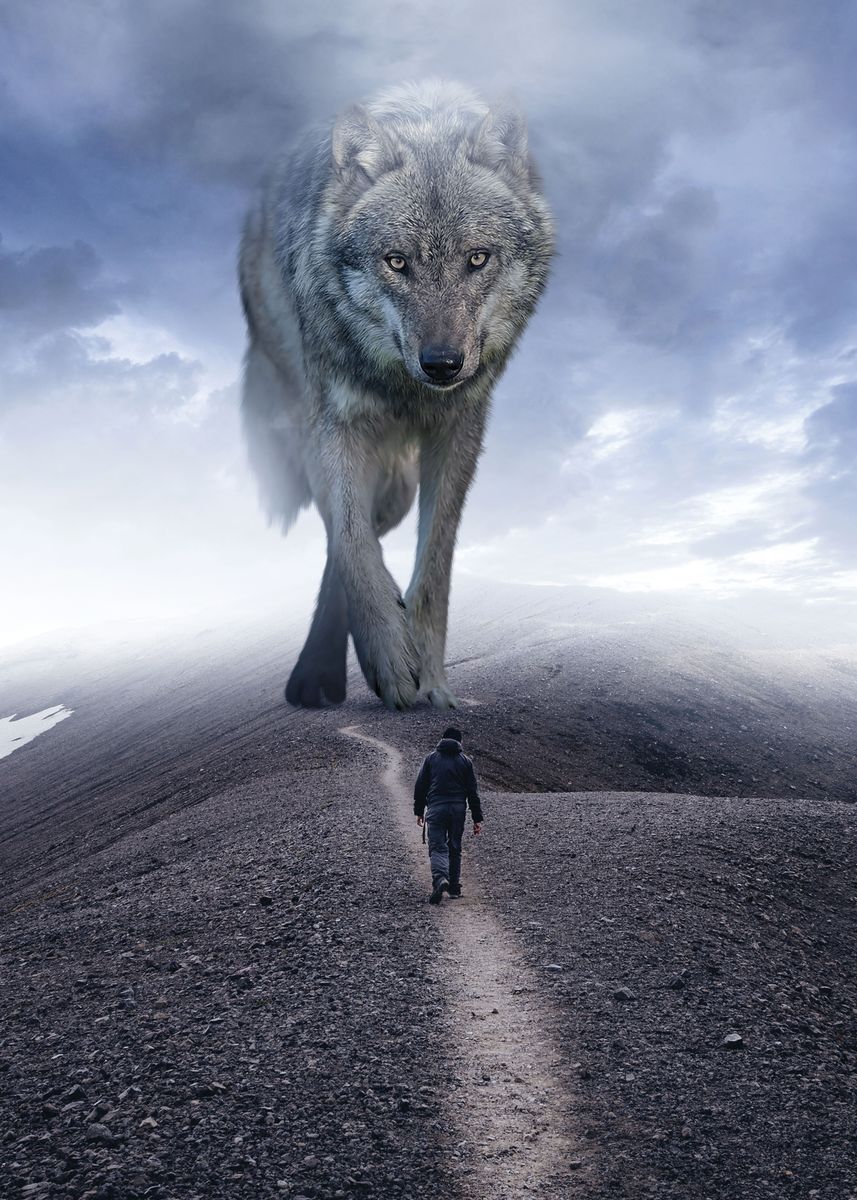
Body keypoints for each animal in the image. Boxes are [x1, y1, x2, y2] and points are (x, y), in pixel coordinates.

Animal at [239, 79, 553, 710]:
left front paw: (429, 677)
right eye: (397, 262)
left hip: (397, 486)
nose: (442, 364)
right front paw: (388, 656)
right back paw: (318, 673)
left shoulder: (460, 431)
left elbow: (434, 564)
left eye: (477, 258)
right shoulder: (333, 424)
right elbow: (353, 543)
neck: (405, 389)